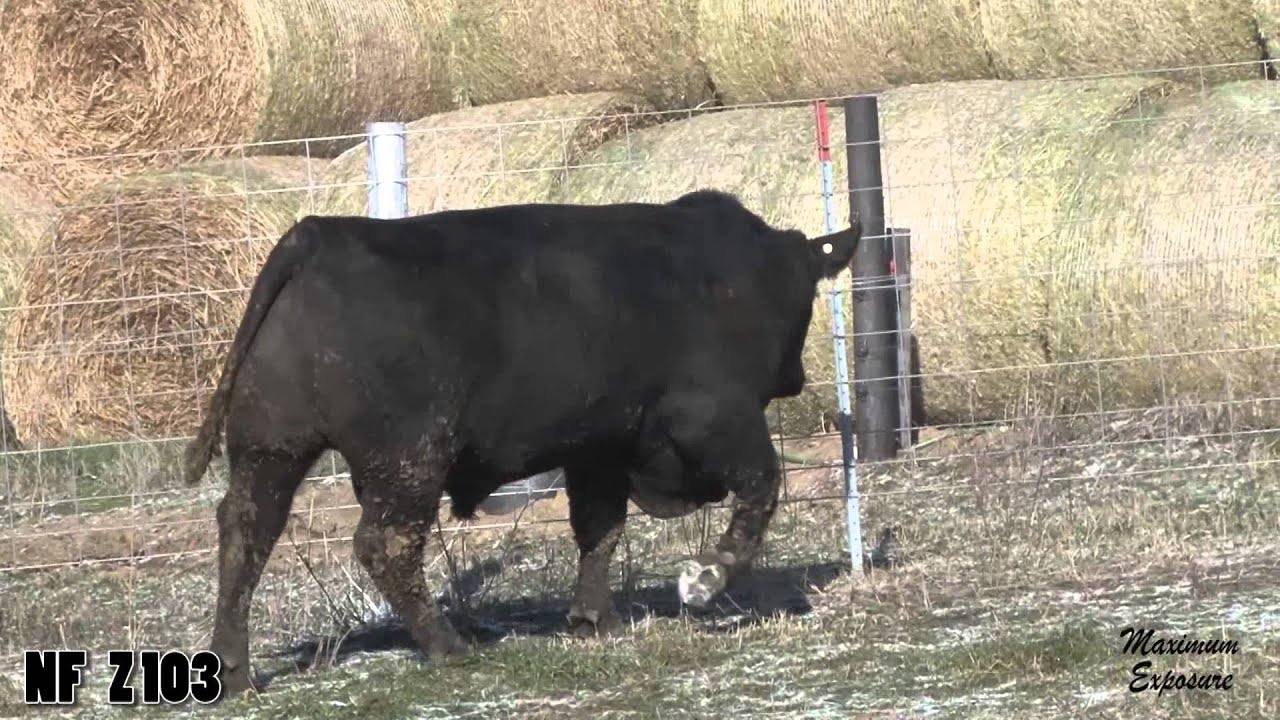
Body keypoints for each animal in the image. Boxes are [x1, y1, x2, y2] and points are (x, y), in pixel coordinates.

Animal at [182, 190, 861, 695]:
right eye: (806, 295)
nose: (796, 378)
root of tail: (321, 234)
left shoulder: (599, 449)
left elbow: (600, 530)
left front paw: (595, 620)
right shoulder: (717, 417)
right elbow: (762, 490)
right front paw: (706, 579)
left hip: (271, 451)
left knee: (246, 530)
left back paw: (236, 672)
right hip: (409, 458)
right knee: (386, 543)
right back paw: (448, 645)